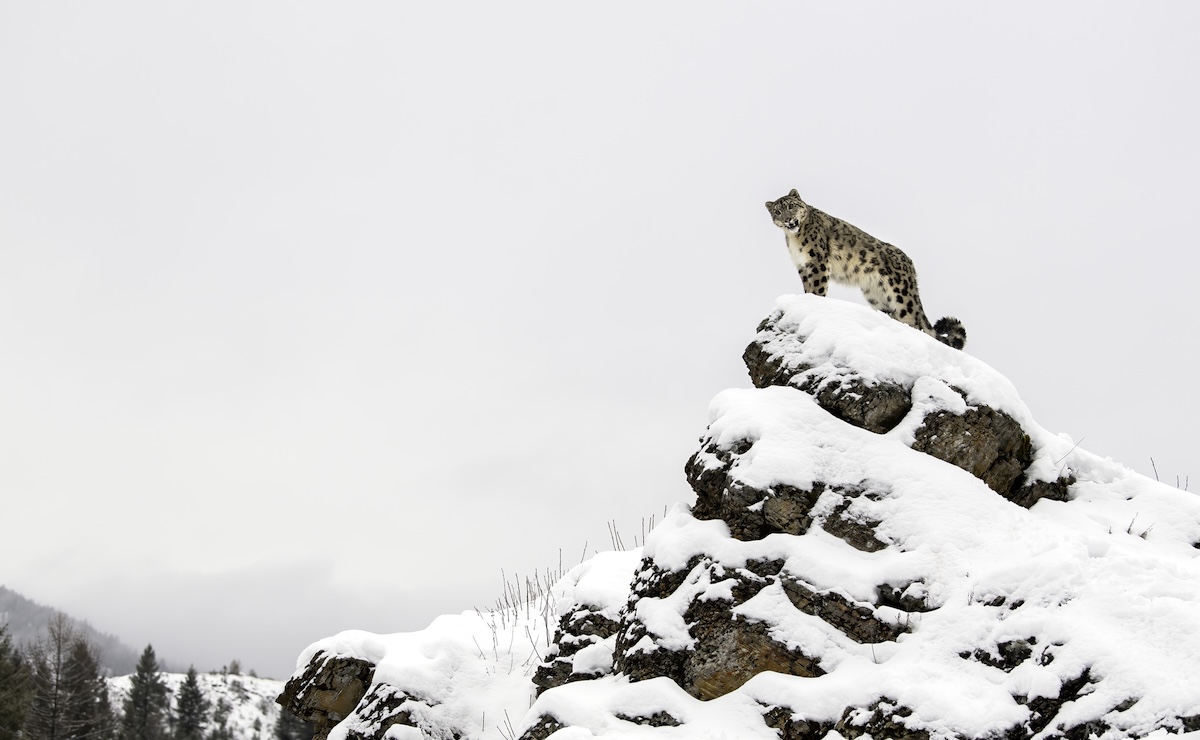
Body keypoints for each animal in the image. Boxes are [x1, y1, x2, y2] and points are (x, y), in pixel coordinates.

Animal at [765, 189, 966, 349]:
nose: (788, 220)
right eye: (778, 211)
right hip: (877, 297)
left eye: (791, 206)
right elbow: (807, 288)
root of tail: (910, 265)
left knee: (916, 323)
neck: (794, 239)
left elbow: (817, 288)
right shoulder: (803, 266)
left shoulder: (817, 262)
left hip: (902, 297)